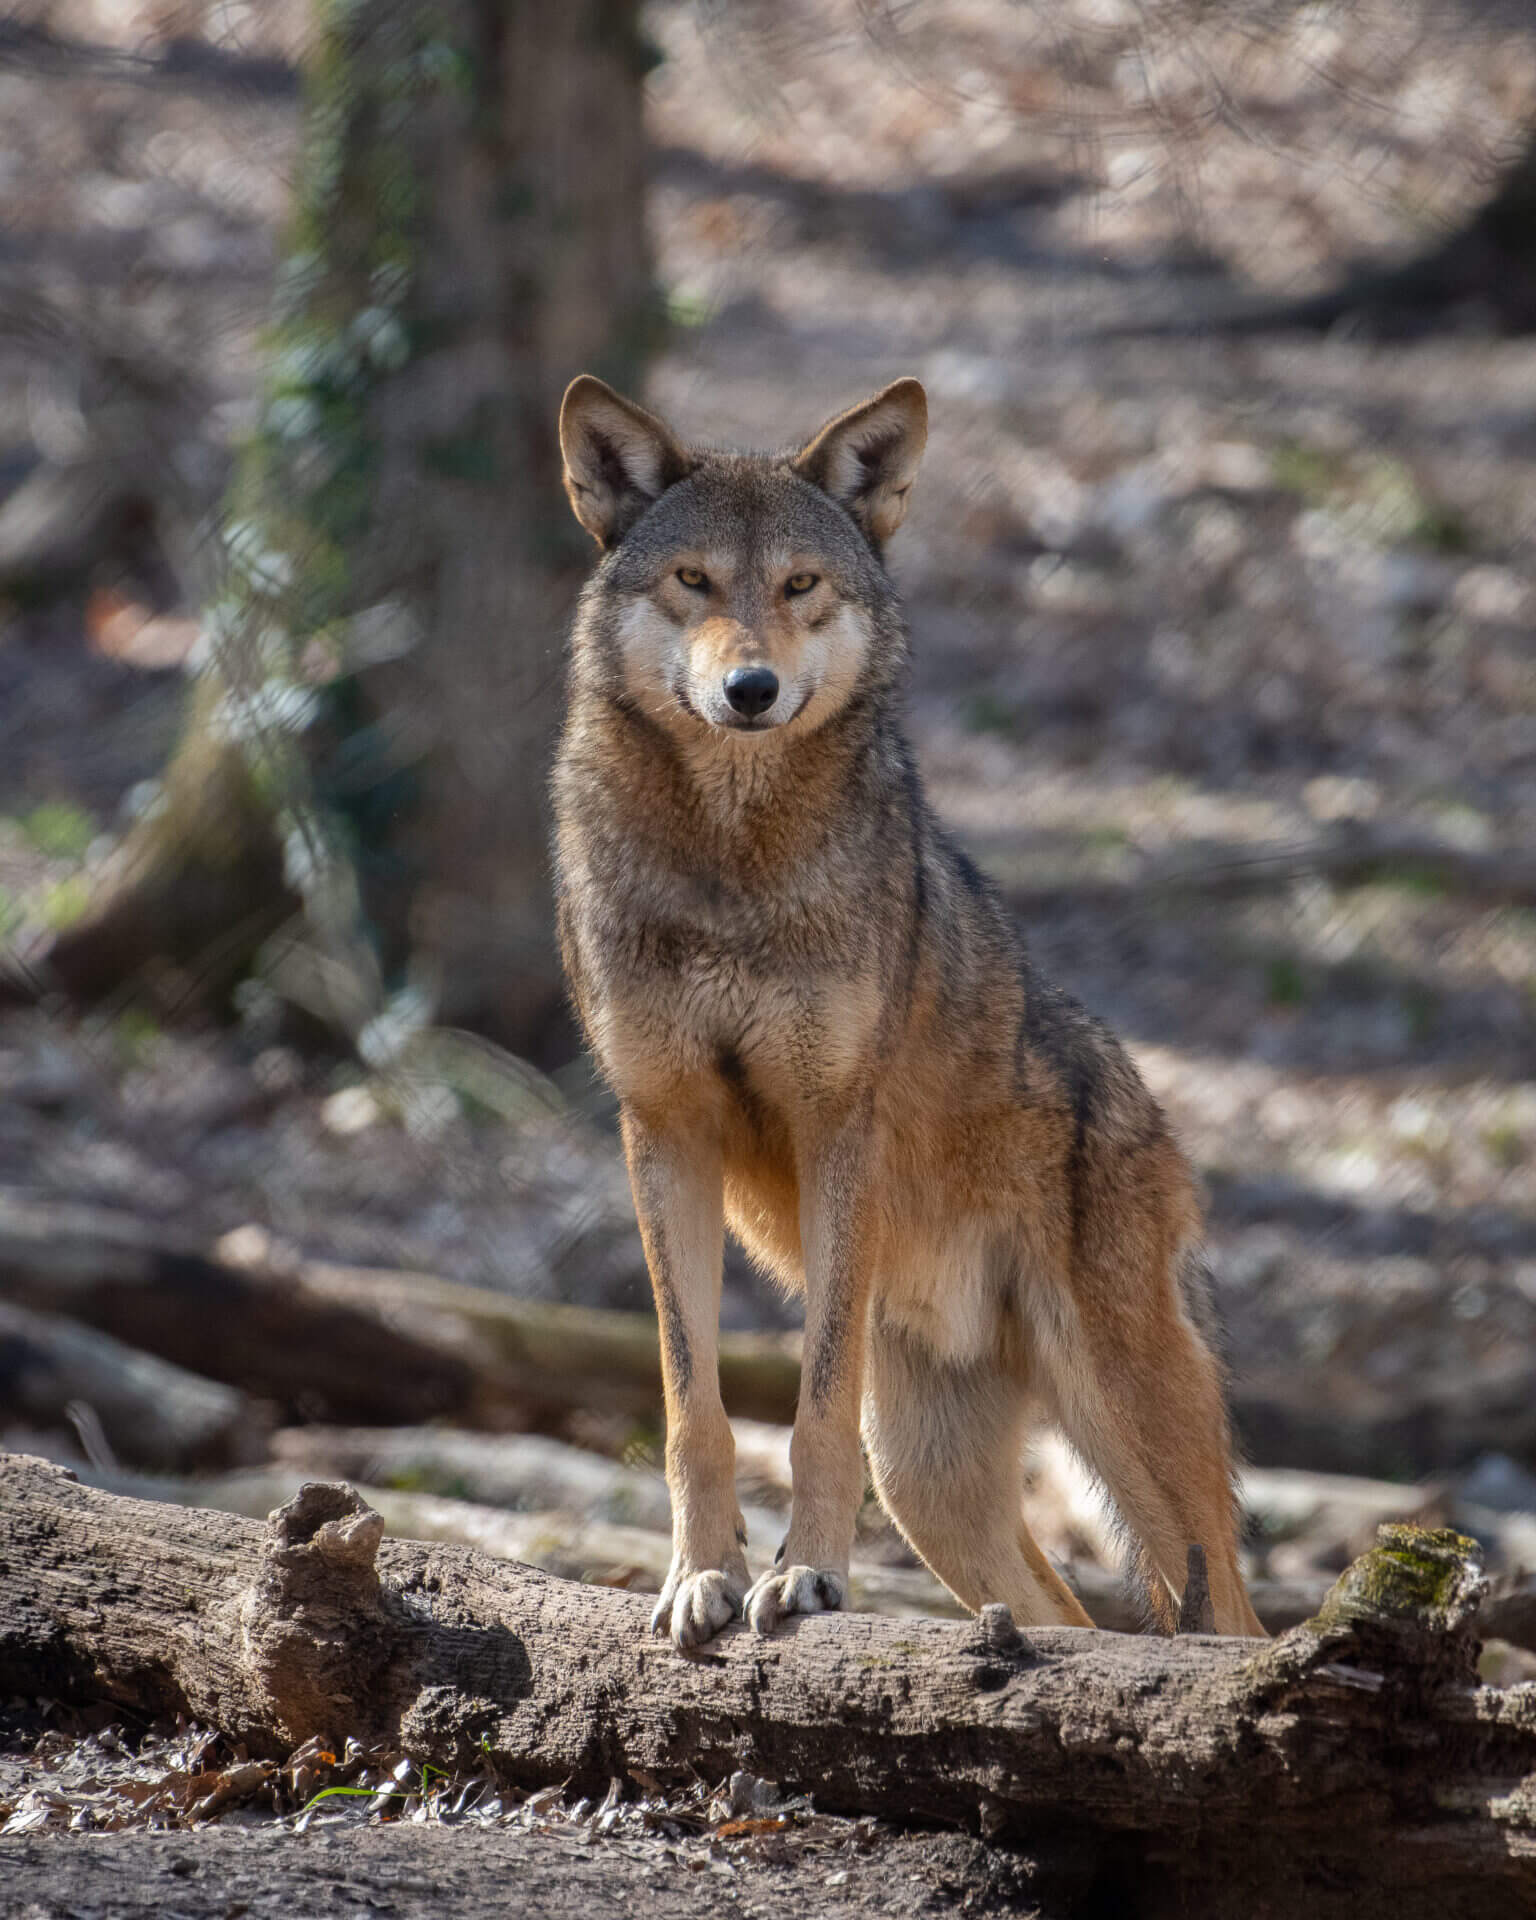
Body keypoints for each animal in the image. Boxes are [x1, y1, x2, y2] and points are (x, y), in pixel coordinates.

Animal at [552, 374, 1265, 1648]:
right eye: (694, 581)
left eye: (800, 586)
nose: (749, 689)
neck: (731, 862)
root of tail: (1158, 1124)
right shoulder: (663, 1132)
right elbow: (694, 1411)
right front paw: (699, 1578)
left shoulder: (837, 1122)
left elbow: (813, 1408)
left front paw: (808, 1579)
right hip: (934, 1486)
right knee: (1069, 1620)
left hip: (1129, 1428)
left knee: (1230, 1620)